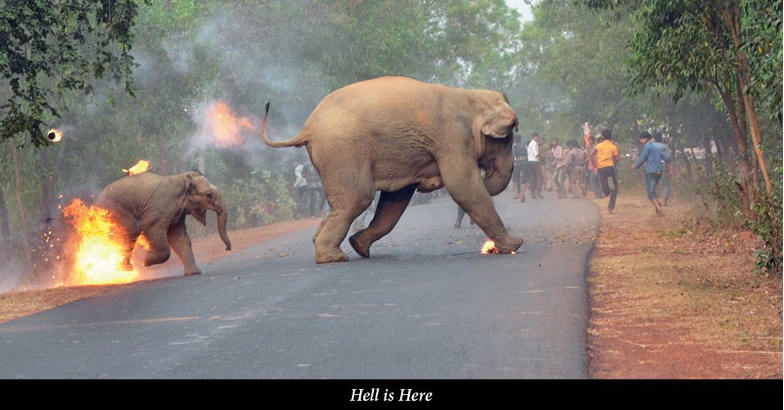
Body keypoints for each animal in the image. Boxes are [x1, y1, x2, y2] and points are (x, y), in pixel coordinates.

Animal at [94, 171, 231, 276]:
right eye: (209, 195)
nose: (227, 249)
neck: (182, 178)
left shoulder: (177, 214)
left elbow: (179, 238)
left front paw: (194, 273)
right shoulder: (158, 209)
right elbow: (152, 230)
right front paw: (147, 261)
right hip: (116, 210)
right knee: (130, 234)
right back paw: (124, 270)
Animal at [260, 76, 523, 263]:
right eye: (508, 137)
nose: (486, 174)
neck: (471, 96)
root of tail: (308, 126)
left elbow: (396, 199)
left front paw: (359, 244)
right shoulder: (452, 138)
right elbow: (463, 185)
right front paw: (514, 245)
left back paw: (337, 246)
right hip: (343, 151)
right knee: (358, 197)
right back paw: (333, 258)